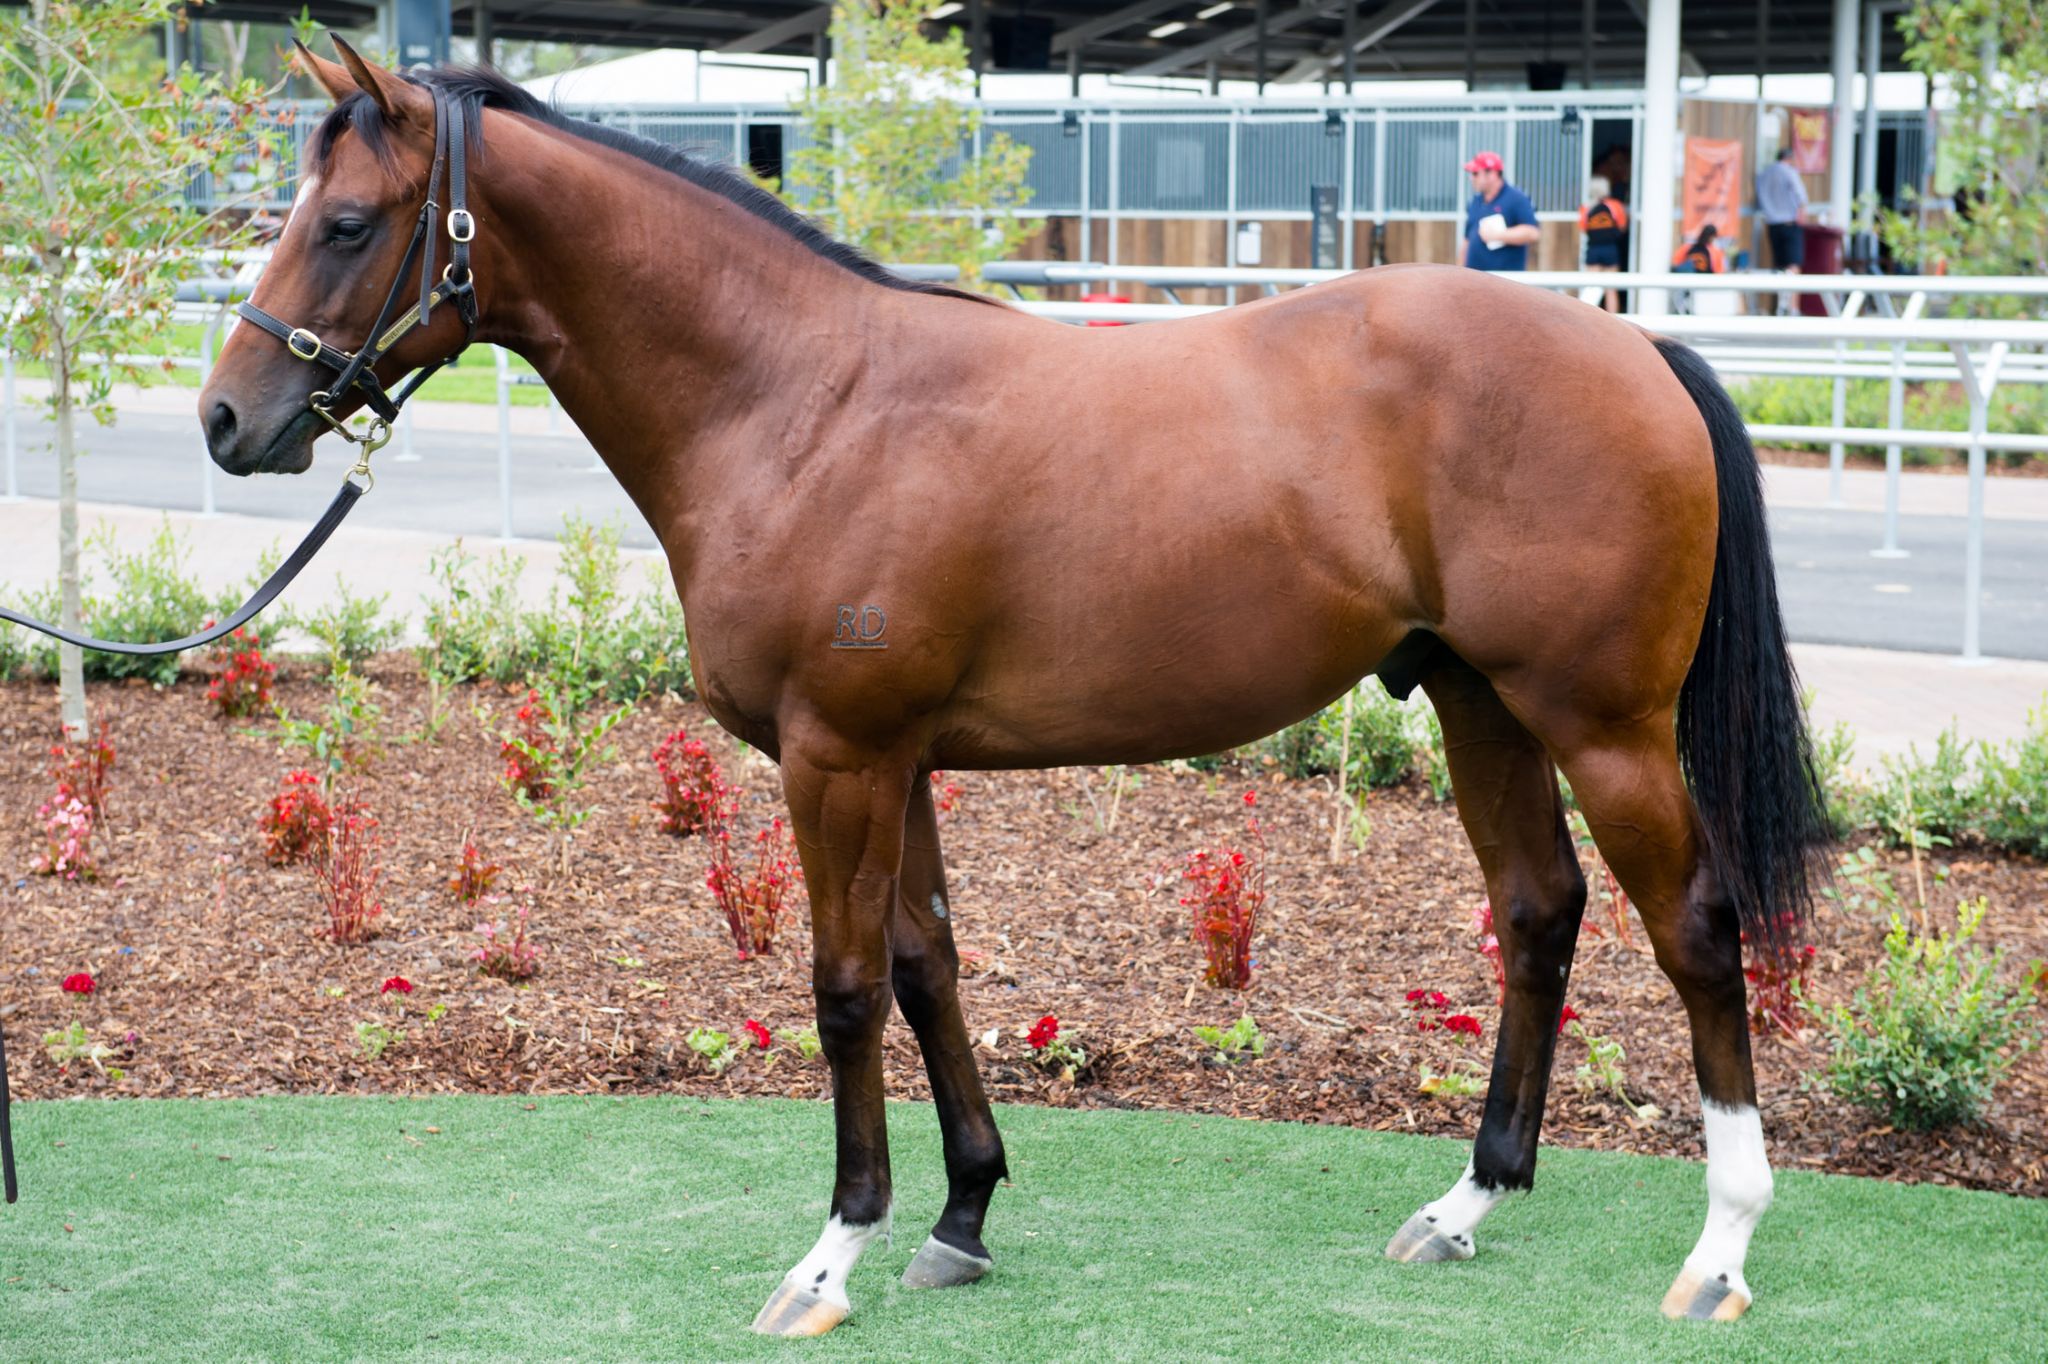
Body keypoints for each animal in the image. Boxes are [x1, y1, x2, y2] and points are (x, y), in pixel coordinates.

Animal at [198, 41, 1828, 1336]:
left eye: (346, 223)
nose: (228, 418)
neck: (802, 405)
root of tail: (1636, 344)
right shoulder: (895, 755)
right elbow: (928, 966)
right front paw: (961, 1215)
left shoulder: (836, 756)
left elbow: (845, 988)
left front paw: (831, 1255)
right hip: (1478, 699)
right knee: (1538, 913)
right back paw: (1465, 1205)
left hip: (1602, 725)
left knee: (1694, 928)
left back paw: (1722, 1247)